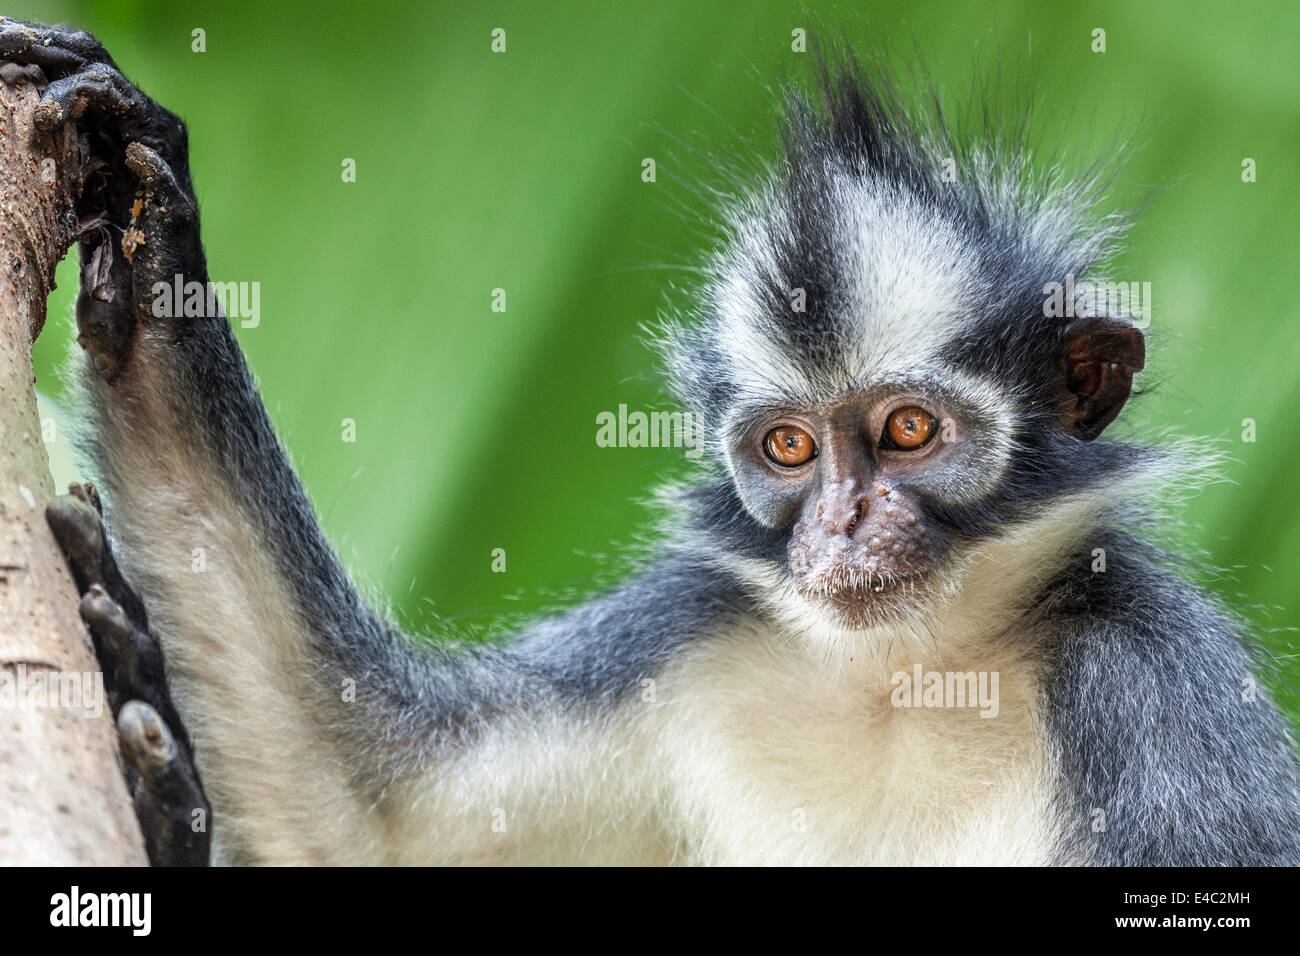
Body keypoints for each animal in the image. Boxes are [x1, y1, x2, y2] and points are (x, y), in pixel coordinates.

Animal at [3, 18, 1299, 866]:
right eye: (789, 449)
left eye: (907, 430)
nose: (841, 526)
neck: (907, 674)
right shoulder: (695, 635)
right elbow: (352, 801)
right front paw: (146, 215)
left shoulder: (1151, 689)